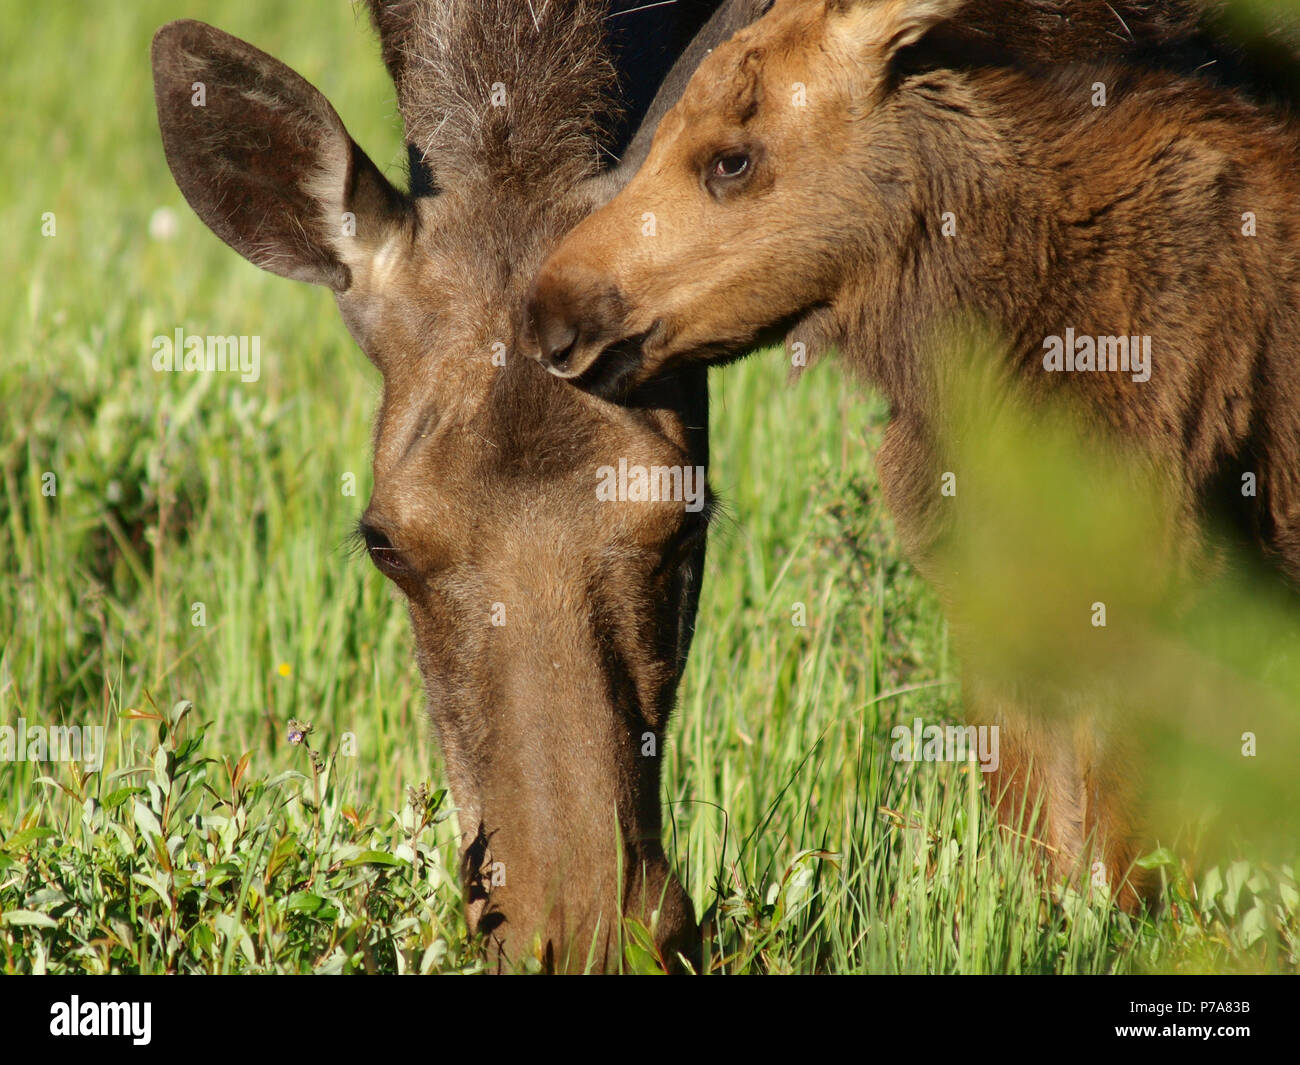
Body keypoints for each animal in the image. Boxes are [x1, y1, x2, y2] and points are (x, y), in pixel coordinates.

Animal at [523, 0, 1300, 910]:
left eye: (731, 159)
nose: (548, 312)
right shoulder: (988, 588)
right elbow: (1043, 846)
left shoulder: (1165, 577)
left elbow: (1122, 864)